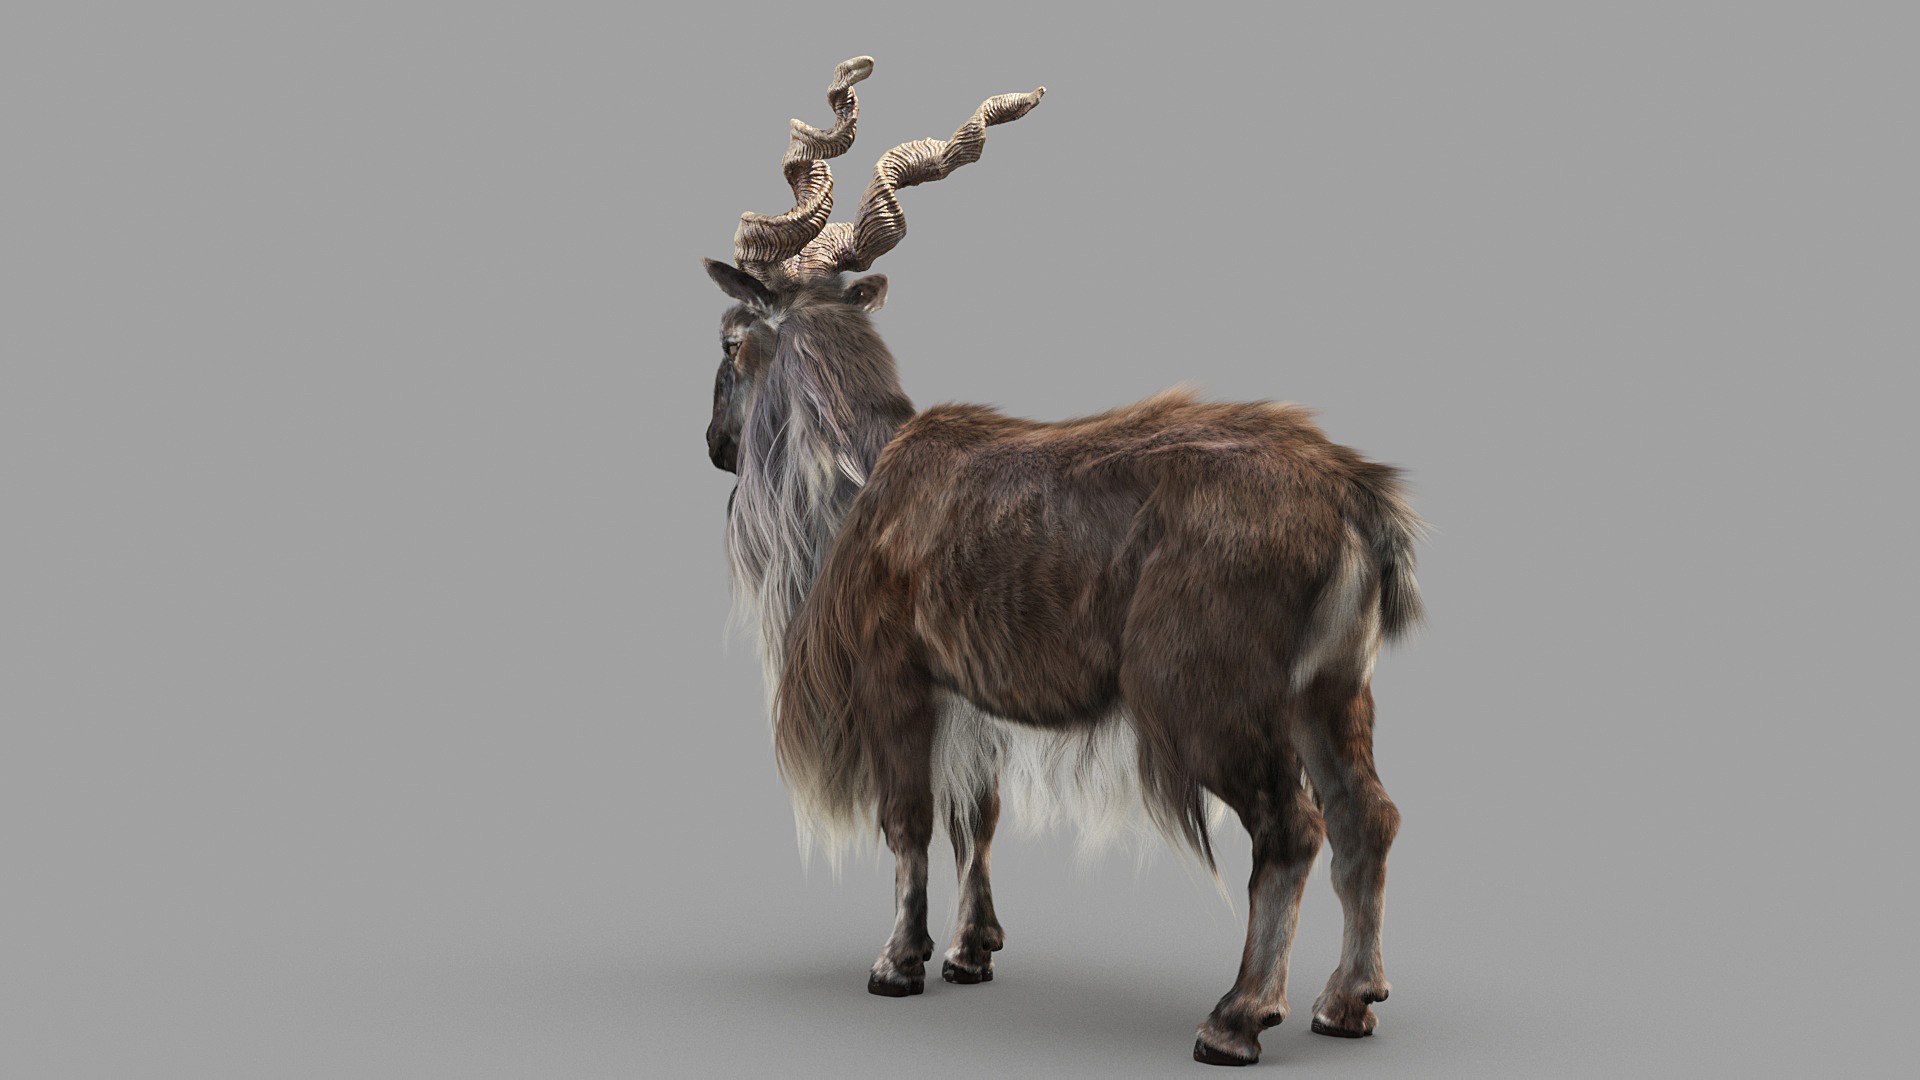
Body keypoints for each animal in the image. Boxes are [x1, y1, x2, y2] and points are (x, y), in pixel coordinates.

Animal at [700, 56, 1425, 1067]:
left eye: (731, 339)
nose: (714, 445)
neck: (860, 480)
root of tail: (1354, 495)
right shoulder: (968, 698)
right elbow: (976, 815)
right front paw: (971, 951)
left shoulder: (894, 673)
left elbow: (908, 818)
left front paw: (897, 962)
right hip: (1331, 690)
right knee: (1368, 817)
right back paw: (1348, 1002)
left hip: (1211, 699)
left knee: (1292, 829)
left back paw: (1239, 1016)